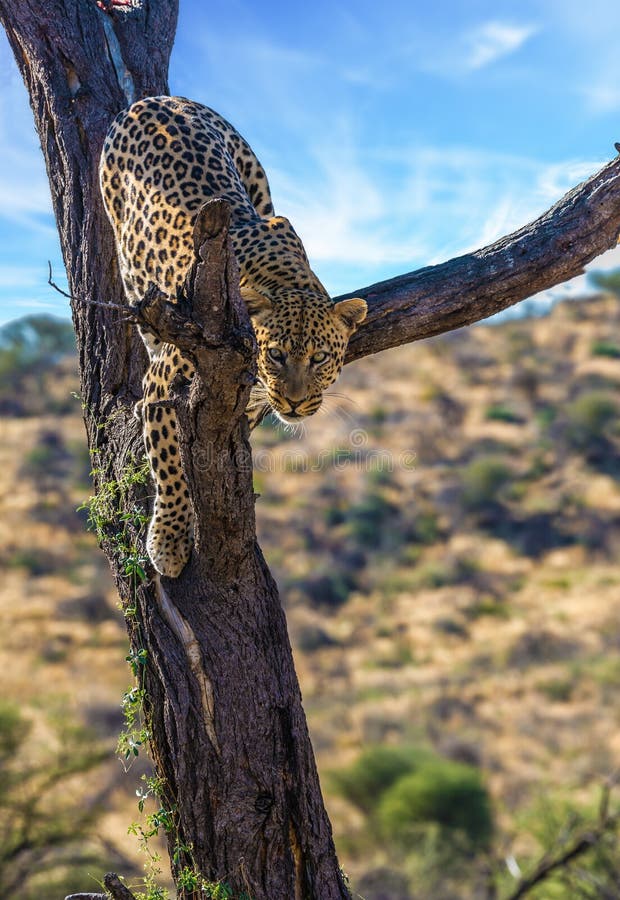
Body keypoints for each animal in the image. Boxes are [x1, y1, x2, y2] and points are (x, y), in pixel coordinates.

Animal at [100, 95, 367, 578]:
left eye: (319, 359)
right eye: (275, 354)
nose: (295, 403)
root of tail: (156, 99)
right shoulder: (164, 382)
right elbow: (171, 462)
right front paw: (169, 540)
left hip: (258, 180)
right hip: (126, 254)